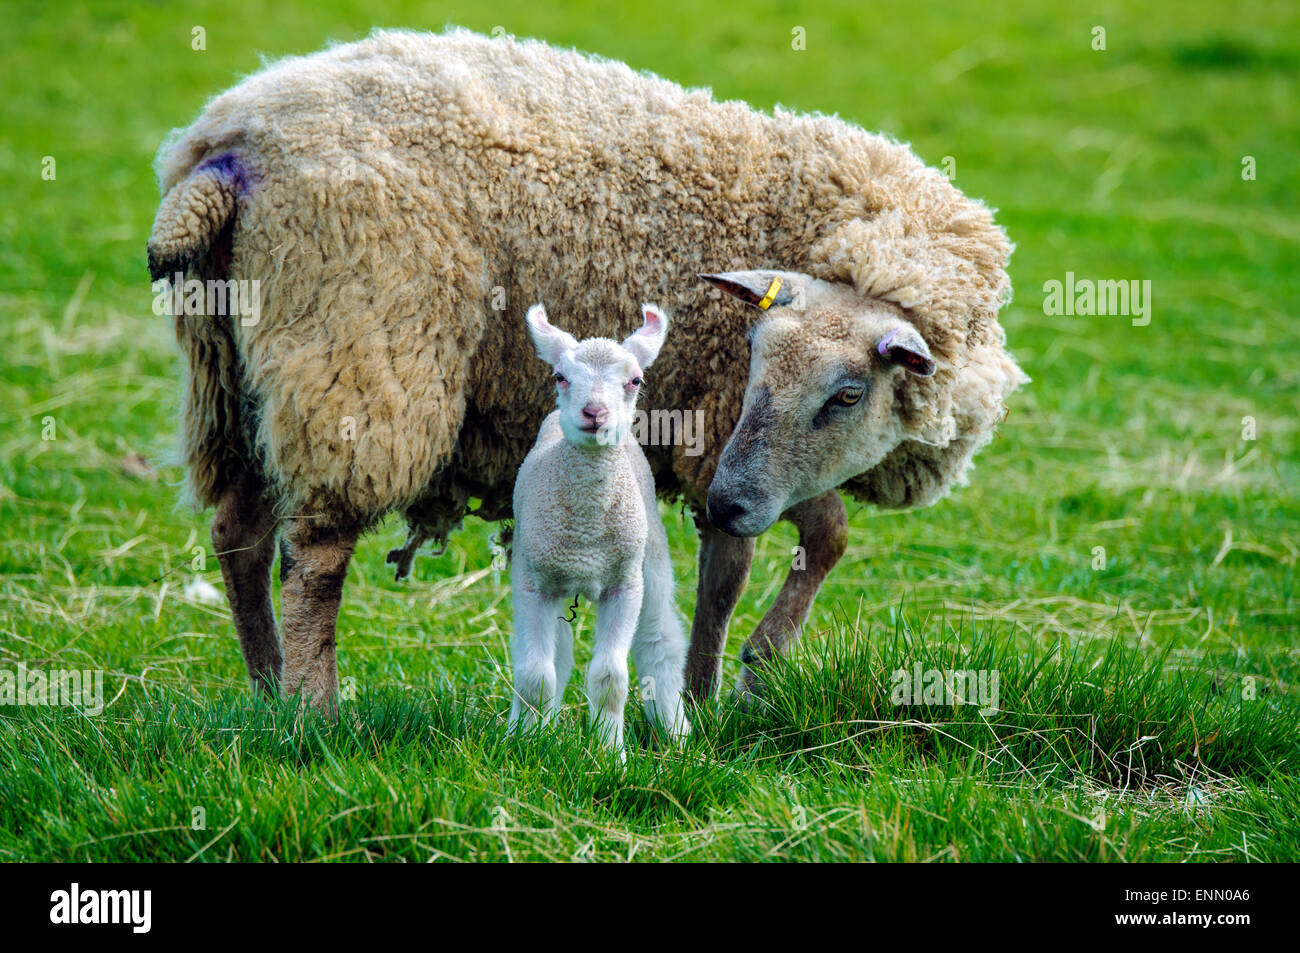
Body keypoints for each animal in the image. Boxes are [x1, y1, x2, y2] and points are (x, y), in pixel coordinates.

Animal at [510, 303, 689, 755]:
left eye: (635, 380)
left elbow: (611, 677)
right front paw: (527, 744)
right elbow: (535, 675)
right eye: (559, 376)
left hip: (651, 555)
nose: (594, 413)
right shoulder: (534, 582)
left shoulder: (624, 585)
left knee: (659, 641)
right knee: (554, 655)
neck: (587, 533)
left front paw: (610, 752)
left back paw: (677, 733)